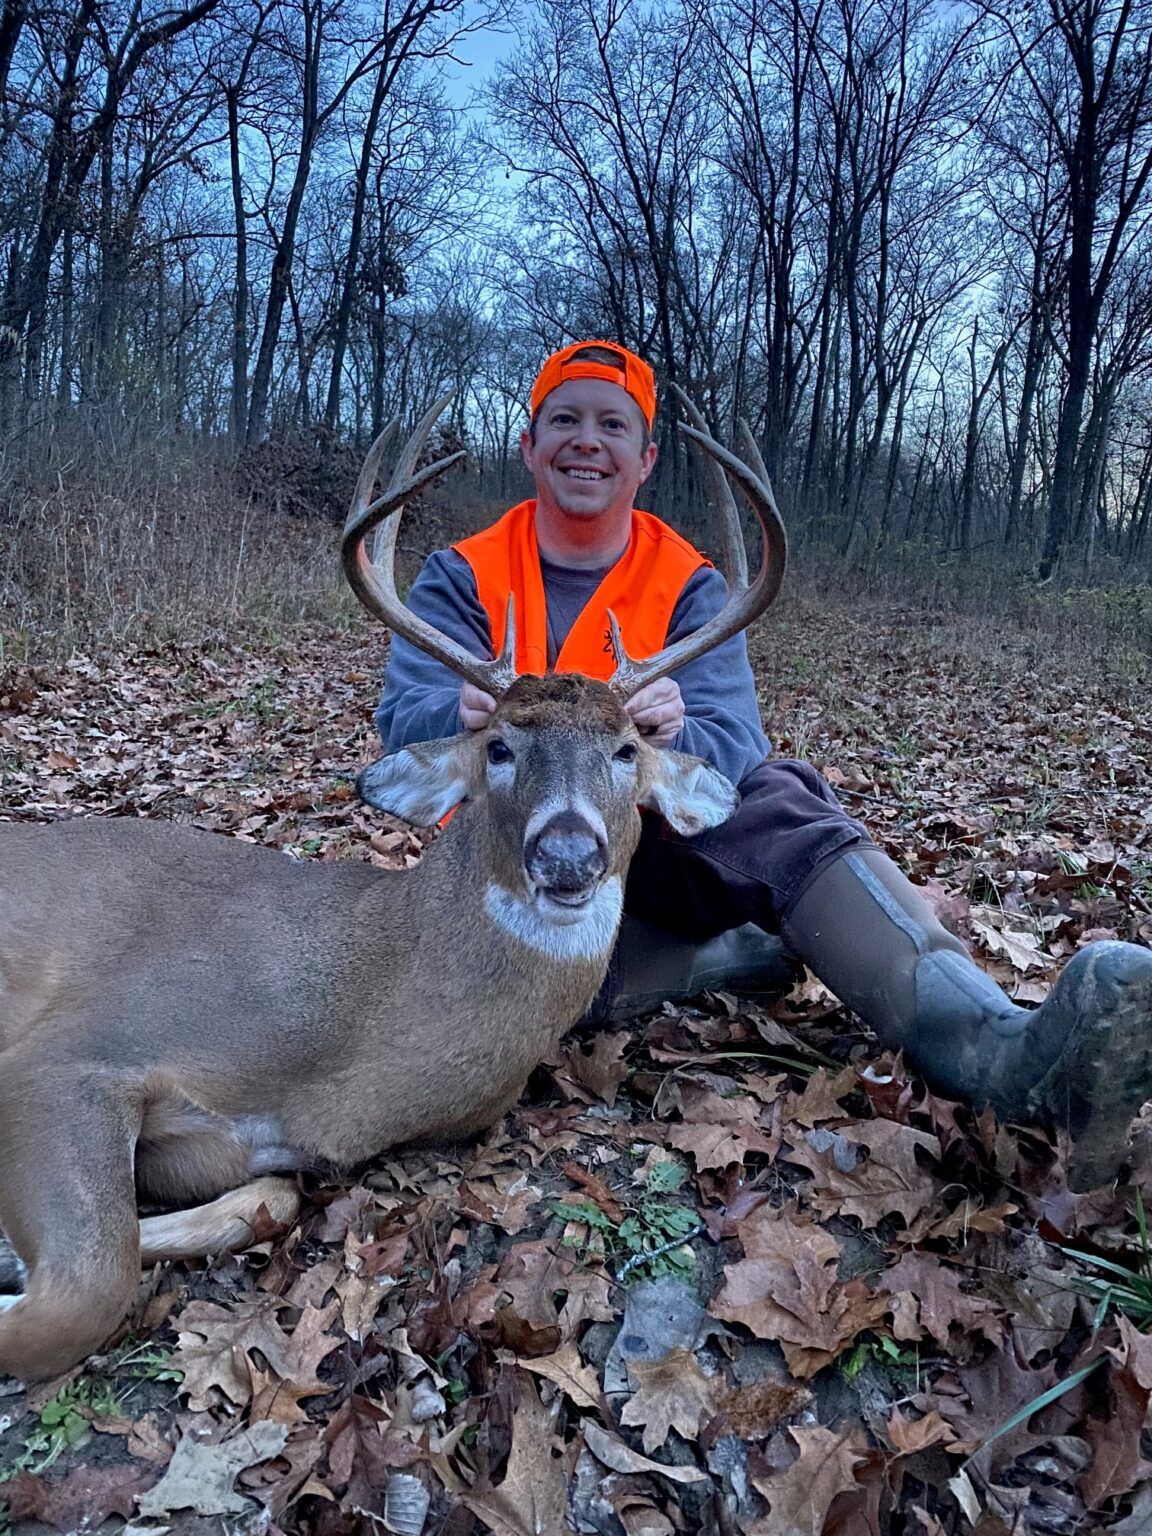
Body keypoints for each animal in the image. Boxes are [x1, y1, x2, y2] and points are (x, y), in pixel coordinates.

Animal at [0, 392, 786, 1382]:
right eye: (499, 747)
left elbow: (259, 1204)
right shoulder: (77, 1047)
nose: (569, 853)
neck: (353, 1024)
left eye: (626, 751)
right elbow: (84, 1289)